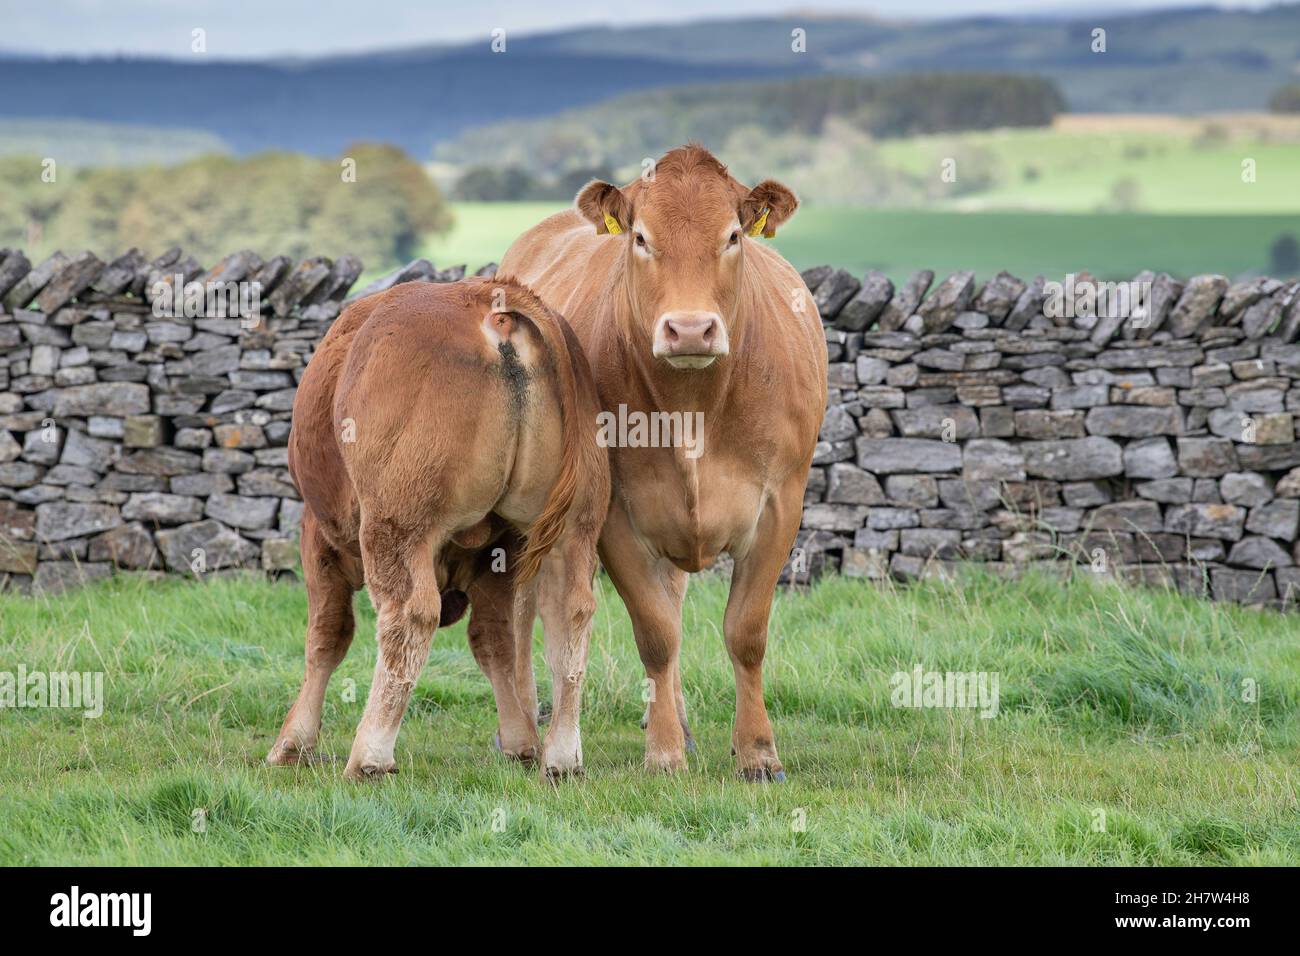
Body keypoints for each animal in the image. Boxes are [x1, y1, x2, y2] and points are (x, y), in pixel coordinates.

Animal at [266, 278, 609, 780]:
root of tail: (490, 299)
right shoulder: (496, 554)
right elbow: (494, 641)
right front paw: (520, 741)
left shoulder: (319, 540)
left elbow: (326, 637)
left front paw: (293, 742)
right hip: (574, 528)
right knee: (571, 613)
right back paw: (562, 755)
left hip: (396, 527)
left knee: (408, 617)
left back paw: (370, 756)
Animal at [499, 145, 827, 780]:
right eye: (641, 238)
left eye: (732, 236)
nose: (691, 329)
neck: (693, 408)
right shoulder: (616, 517)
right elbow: (655, 634)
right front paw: (665, 754)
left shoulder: (781, 505)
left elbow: (745, 632)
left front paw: (757, 751)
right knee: (523, 608)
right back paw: (523, 734)